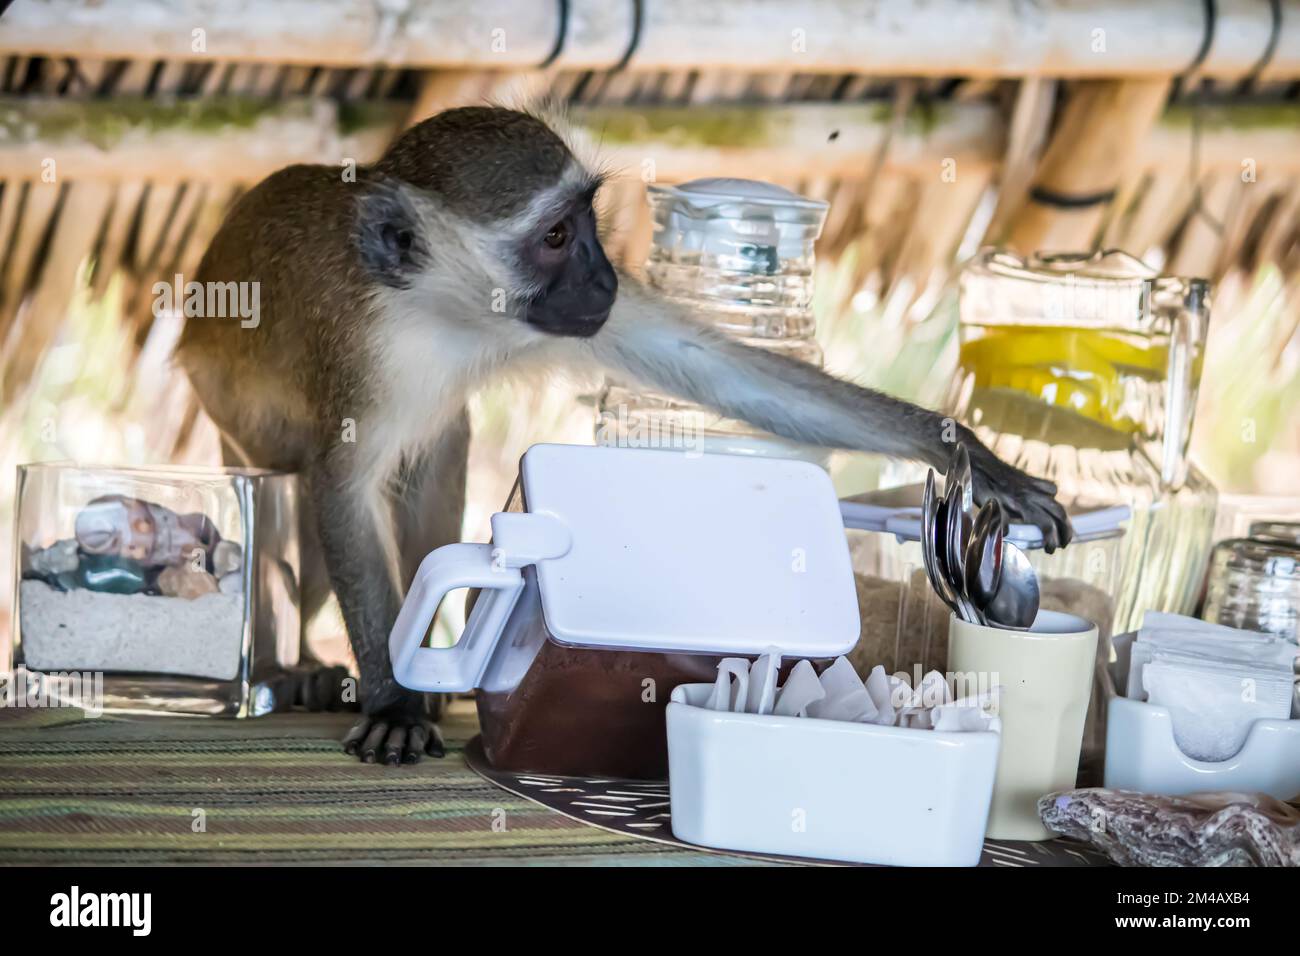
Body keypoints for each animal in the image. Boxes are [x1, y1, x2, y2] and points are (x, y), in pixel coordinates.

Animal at [176, 106, 1070, 765]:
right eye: (554, 236)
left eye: (587, 220)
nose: (604, 276)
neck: (441, 312)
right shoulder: (363, 351)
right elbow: (342, 488)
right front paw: (394, 700)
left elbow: (719, 369)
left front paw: (965, 454)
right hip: (231, 422)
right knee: (297, 499)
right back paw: (304, 669)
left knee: (436, 463)